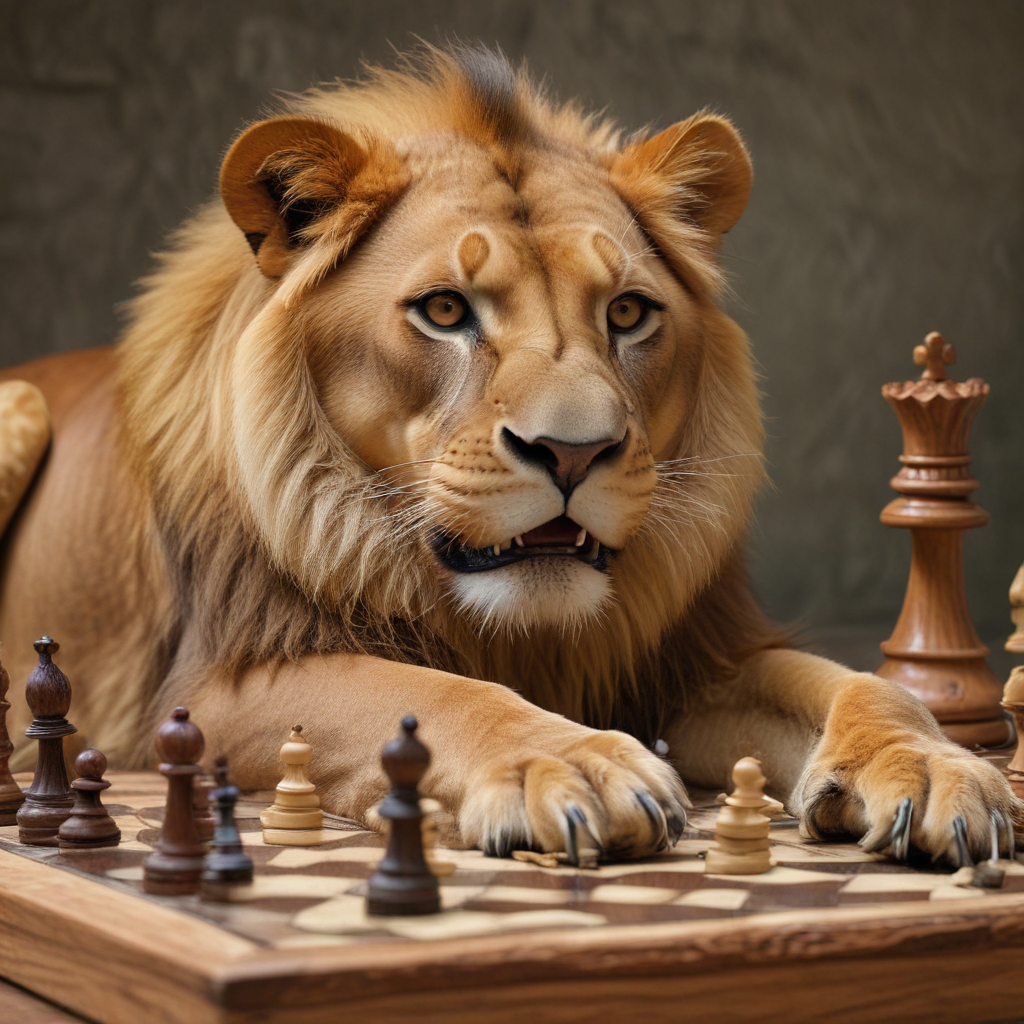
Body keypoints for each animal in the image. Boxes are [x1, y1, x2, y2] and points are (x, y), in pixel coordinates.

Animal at [0, 45, 1018, 863]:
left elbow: (862, 686)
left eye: (628, 312)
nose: (573, 452)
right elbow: (429, 690)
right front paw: (572, 762)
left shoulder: (689, 656)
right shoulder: (214, 684)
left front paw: (931, 769)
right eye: (446, 310)